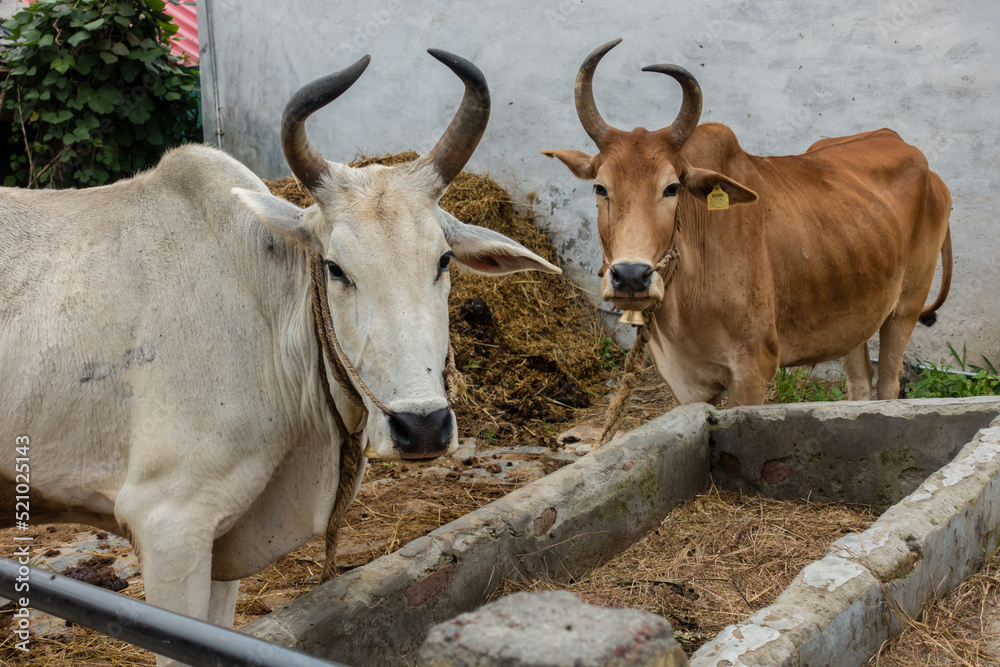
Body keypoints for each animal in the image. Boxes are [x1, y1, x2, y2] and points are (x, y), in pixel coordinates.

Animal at [543, 39, 951, 407]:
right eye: (600, 187)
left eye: (672, 187)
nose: (630, 276)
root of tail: (926, 168)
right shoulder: (684, 384)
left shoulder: (752, 370)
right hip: (855, 310)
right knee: (860, 383)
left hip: (905, 307)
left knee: (888, 383)